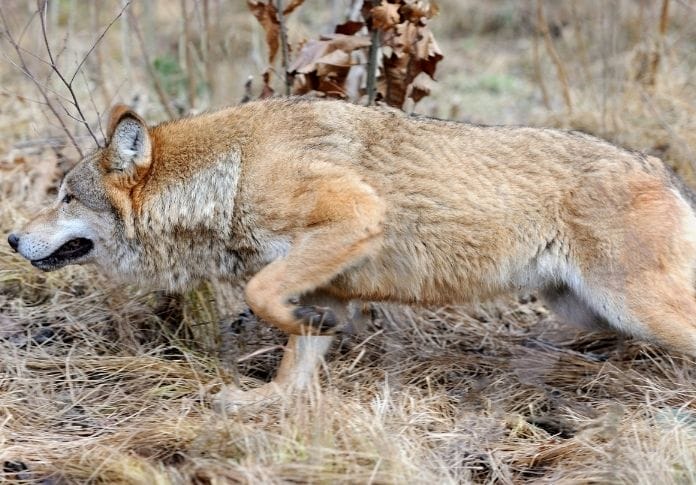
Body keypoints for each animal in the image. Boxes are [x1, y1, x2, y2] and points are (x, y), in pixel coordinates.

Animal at [8, 98, 696, 409]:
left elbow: (261, 295)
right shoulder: (326, 286)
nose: (11, 239)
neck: (233, 173)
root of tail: (660, 169)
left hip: (635, 306)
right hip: (583, 309)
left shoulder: (356, 216)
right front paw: (268, 402)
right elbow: (296, 357)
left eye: (66, 196)